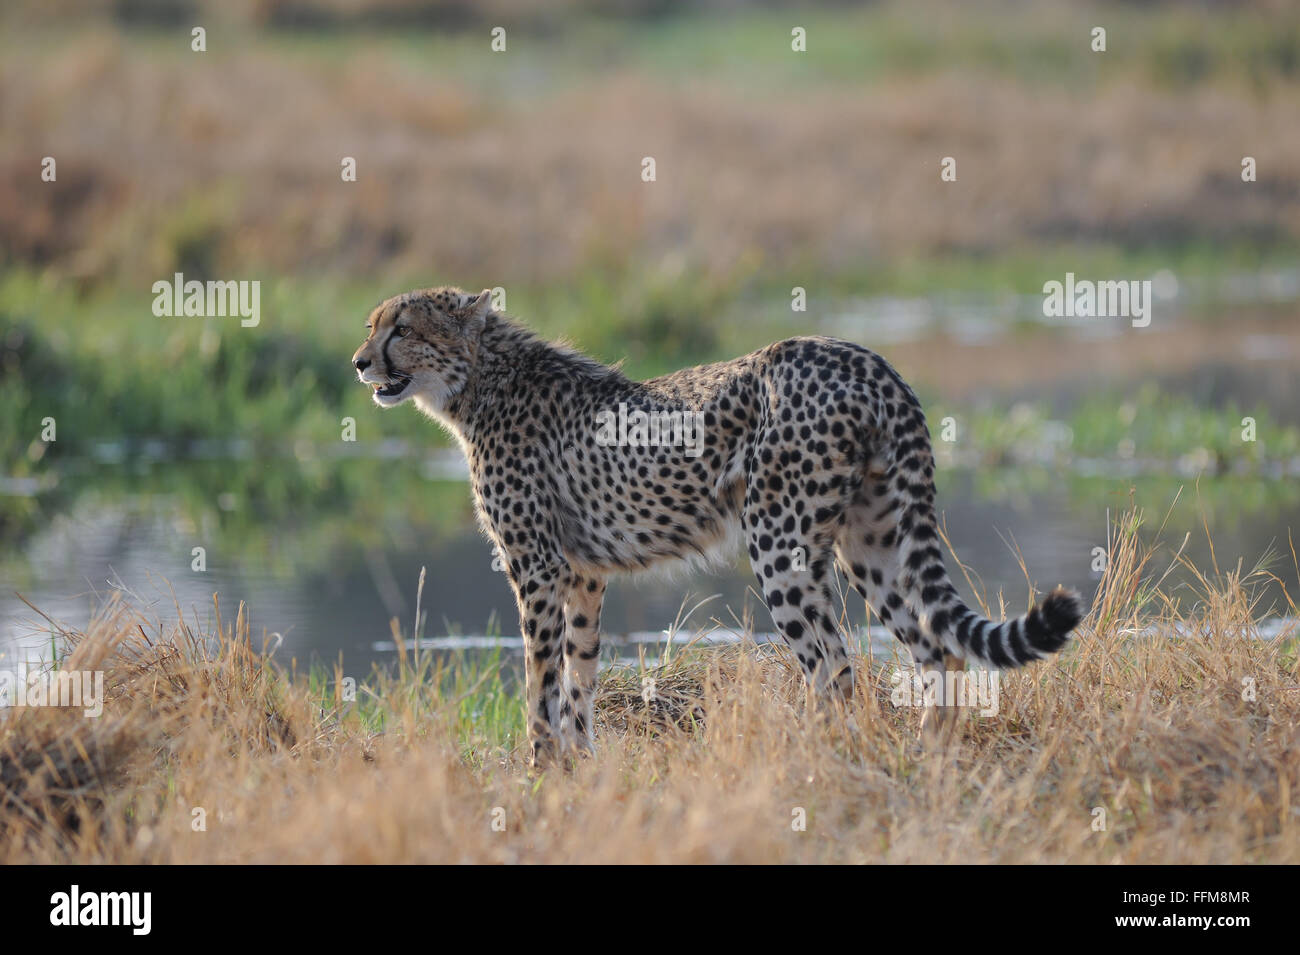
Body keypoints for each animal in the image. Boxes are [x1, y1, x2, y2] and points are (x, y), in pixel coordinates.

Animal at [352, 286, 1084, 769]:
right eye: (372, 324)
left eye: (402, 328)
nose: (360, 362)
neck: (480, 381)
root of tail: (862, 356)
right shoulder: (583, 573)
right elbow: (579, 673)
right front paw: (579, 769)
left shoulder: (537, 567)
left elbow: (540, 676)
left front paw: (537, 768)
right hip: (870, 540)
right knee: (934, 649)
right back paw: (930, 761)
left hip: (781, 544)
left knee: (836, 667)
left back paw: (810, 765)